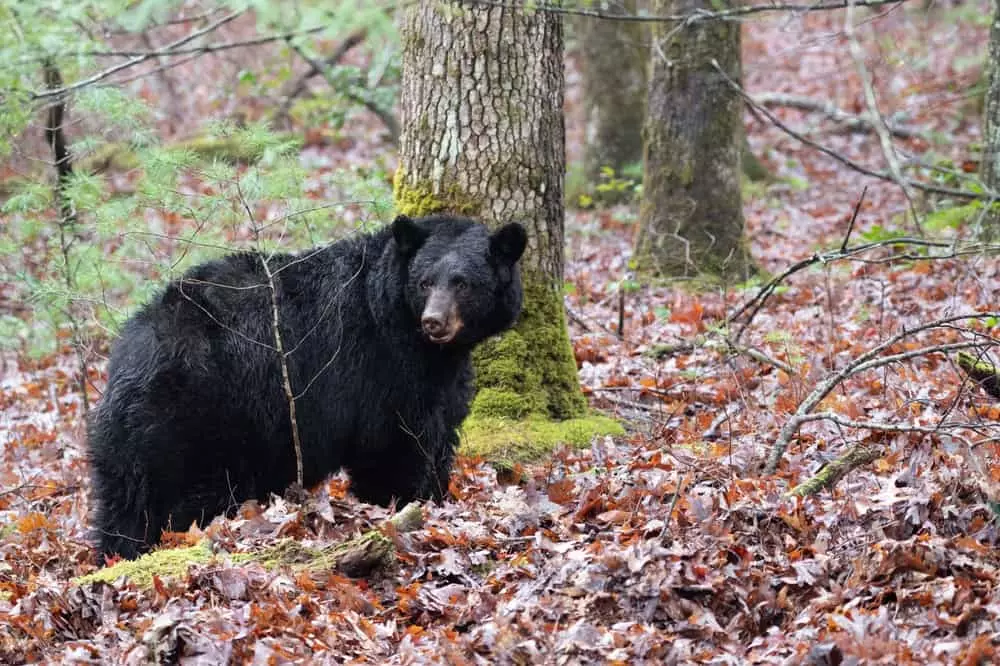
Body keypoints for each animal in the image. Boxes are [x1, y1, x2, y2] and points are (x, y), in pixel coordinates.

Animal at [87, 213, 527, 560]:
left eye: (463, 283)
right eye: (424, 282)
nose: (434, 322)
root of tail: (129, 356)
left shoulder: (440, 379)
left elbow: (440, 433)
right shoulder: (382, 371)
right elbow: (395, 447)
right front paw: (400, 503)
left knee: (125, 504)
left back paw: (118, 554)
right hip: (198, 419)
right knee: (182, 498)